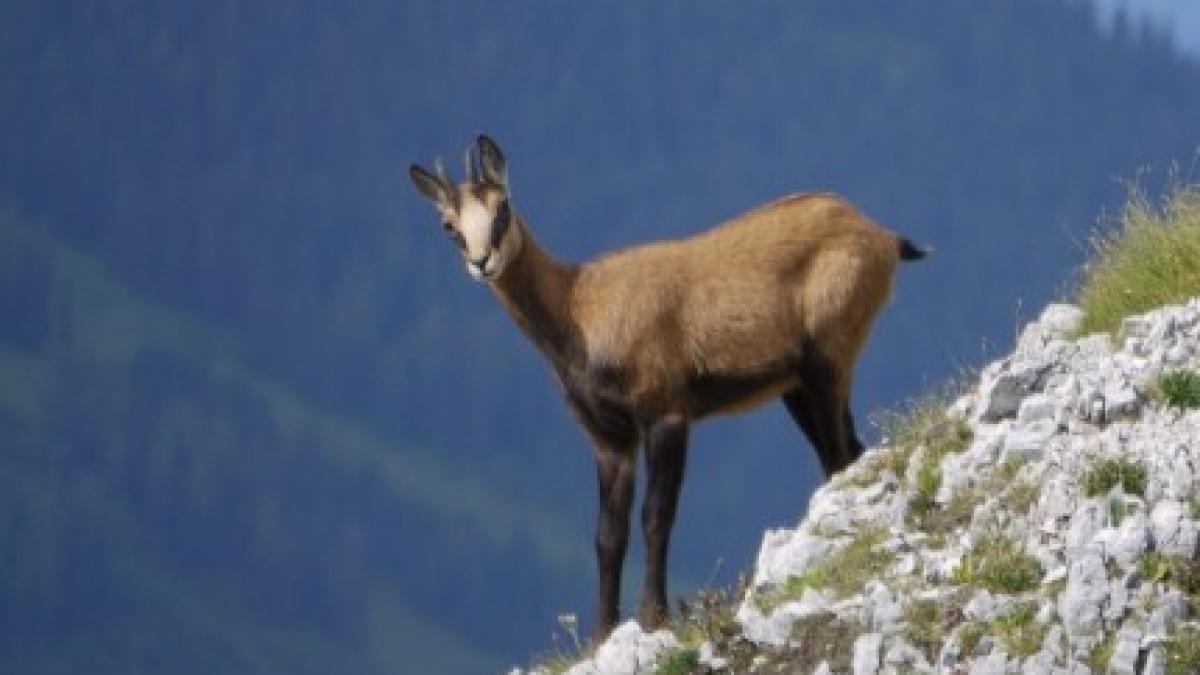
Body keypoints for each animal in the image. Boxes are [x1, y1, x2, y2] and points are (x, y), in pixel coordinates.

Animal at [409, 135, 926, 642]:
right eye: (448, 225)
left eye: (503, 207)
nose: (483, 262)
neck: (578, 311)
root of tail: (878, 233)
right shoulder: (609, 439)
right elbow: (608, 536)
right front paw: (601, 633)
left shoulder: (665, 414)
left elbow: (655, 517)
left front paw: (652, 616)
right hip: (795, 386)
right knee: (845, 451)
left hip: (827, 360)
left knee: (840, 454)